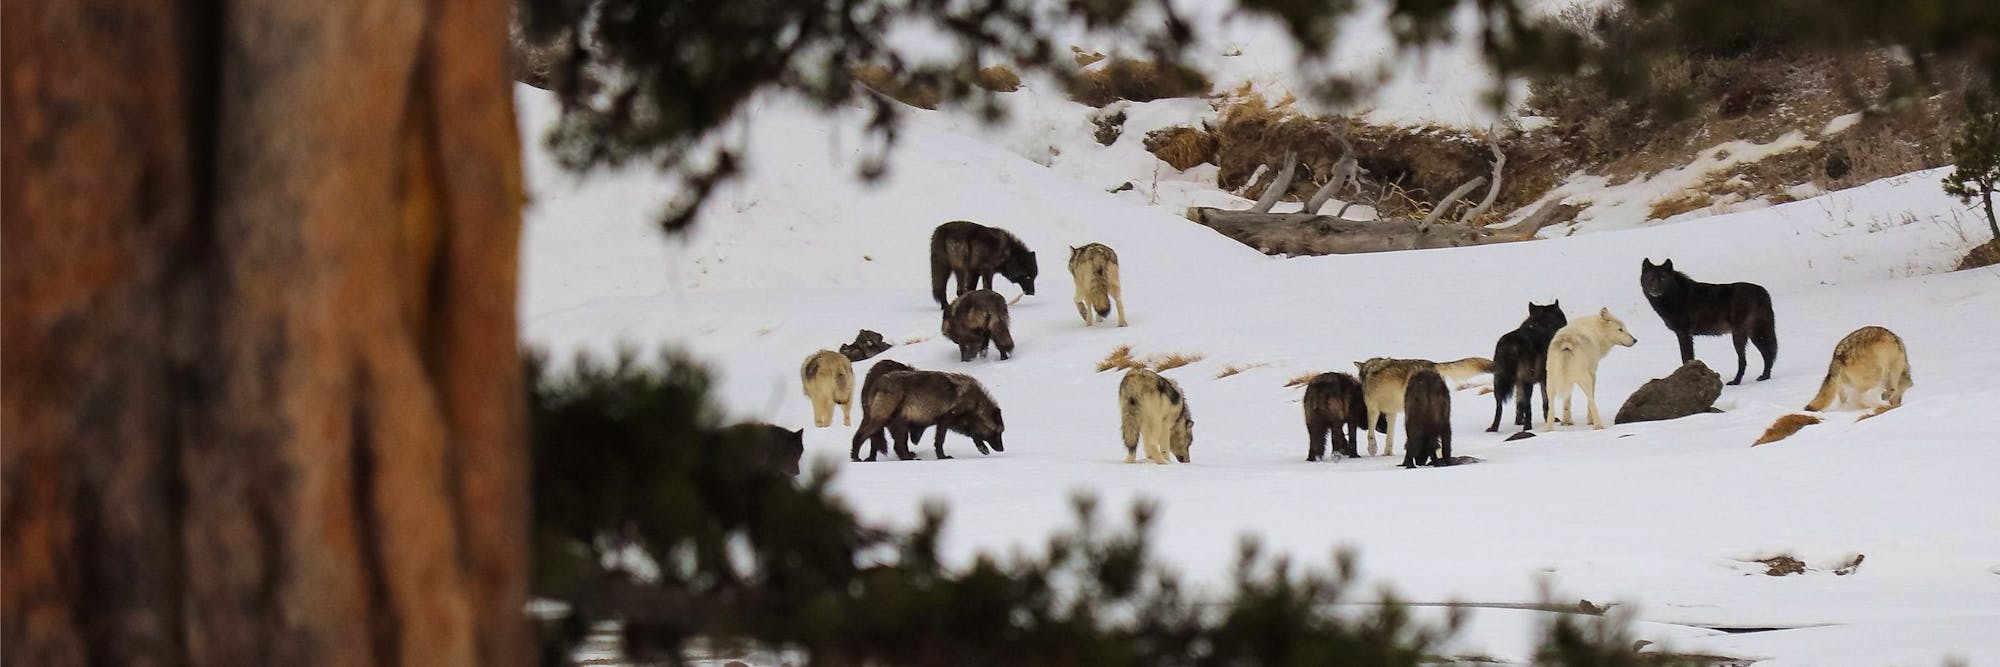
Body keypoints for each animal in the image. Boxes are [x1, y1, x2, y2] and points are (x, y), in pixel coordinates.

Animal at [848, 369, 1005, 461]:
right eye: (999, 432)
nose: (1002, 449)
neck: (976, 403)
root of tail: (877, 383)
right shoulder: (945, 420)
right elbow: (940, 441)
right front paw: (942, 457)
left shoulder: (959, 423)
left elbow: (974, 435)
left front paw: (982, 448)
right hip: (883, 420)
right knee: (861, 436)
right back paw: (856, 457)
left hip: (893, 424)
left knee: (893, 445)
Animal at [1488, 300, 1567, 432]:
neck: (1542, 323)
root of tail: (1512, 344)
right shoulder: (1545, 378)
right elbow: (1546, 402)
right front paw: (1550, 420)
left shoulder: (1519, 382)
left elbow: (1519, 404)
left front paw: (1518, 422)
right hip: (1527, 382)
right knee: (1528, 406)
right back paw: (1527, 427)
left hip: (1498, 383)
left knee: (1499, 406)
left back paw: (1494, 428)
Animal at [1640, 258, 1777, 384]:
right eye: (1650, 278)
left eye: (1662, 279)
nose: (1654, 289)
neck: (1675, 296)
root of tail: (1763, 292)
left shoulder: (1684, 333)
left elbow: (1686, 358)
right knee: (1757, 357)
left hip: (1747, 335)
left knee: (1761, 355)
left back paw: (1754, 379)